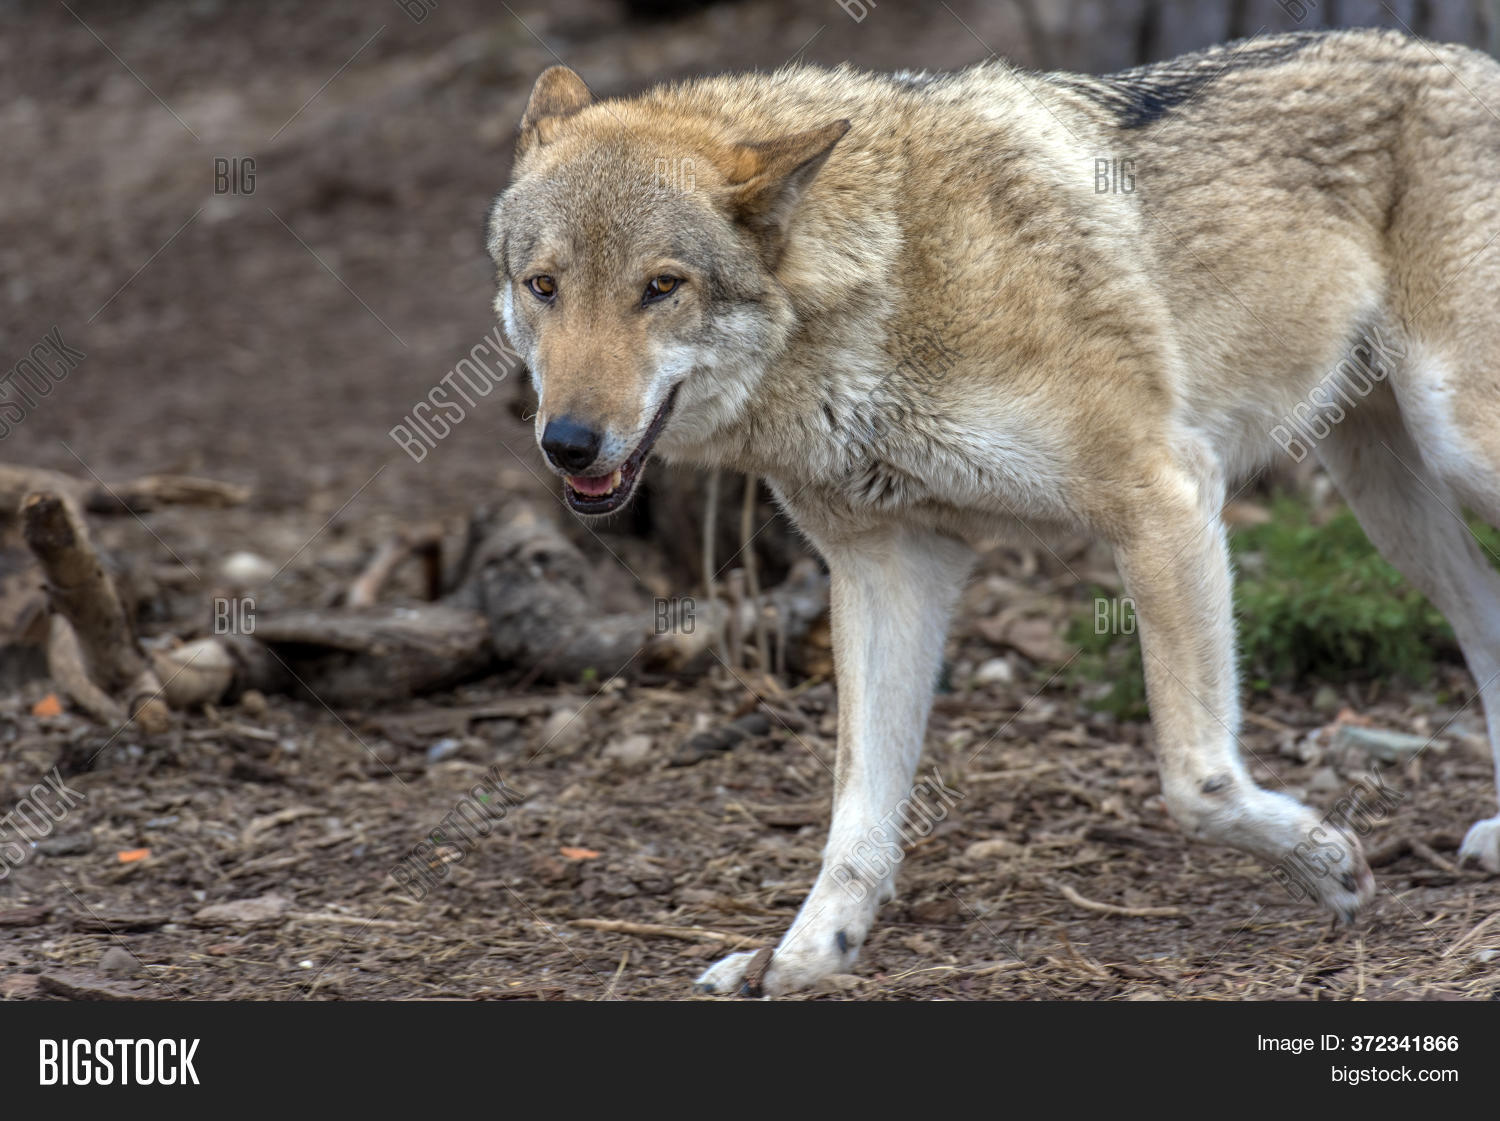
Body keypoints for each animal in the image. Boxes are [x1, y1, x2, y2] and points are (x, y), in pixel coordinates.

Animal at [487, 28, 1500, 995]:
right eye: (544, 286)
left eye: (662, 287)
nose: (566, 442)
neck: (888, 278)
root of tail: (1470, 57)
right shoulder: (888, 566)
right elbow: (856, 814)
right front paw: (805, 955)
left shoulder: (1164, 497)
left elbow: (1196, 783)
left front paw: (1330, 863)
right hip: (1387, 497)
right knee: (1481, 609)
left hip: (1456, 443)